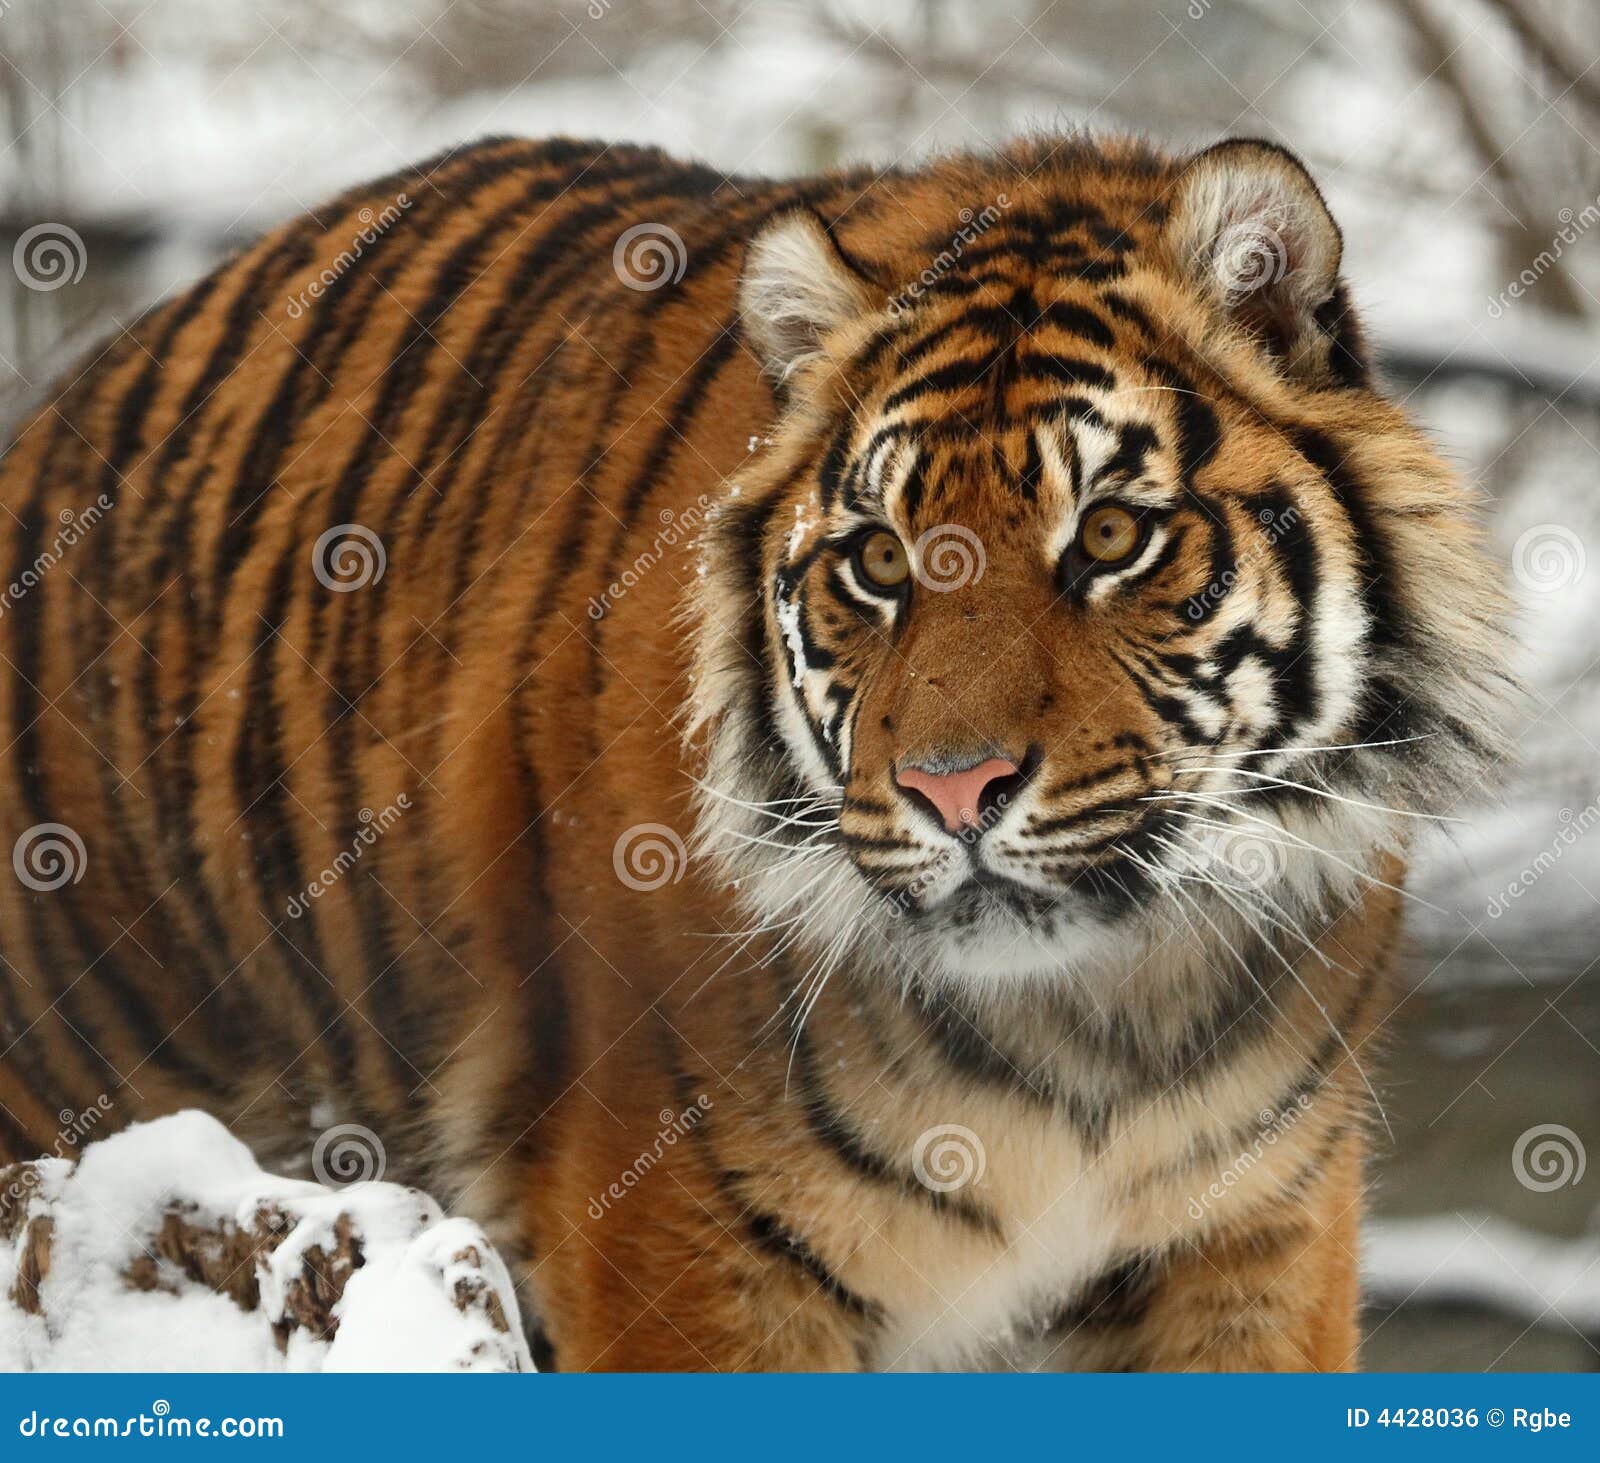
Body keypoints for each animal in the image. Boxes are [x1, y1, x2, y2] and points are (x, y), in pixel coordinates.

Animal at [0, 130, 1512, 1372]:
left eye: (1110, 535)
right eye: (880, 561)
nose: (954, 788)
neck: (1086, 1028)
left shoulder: (1252, 1230)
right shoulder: (680, 1227)